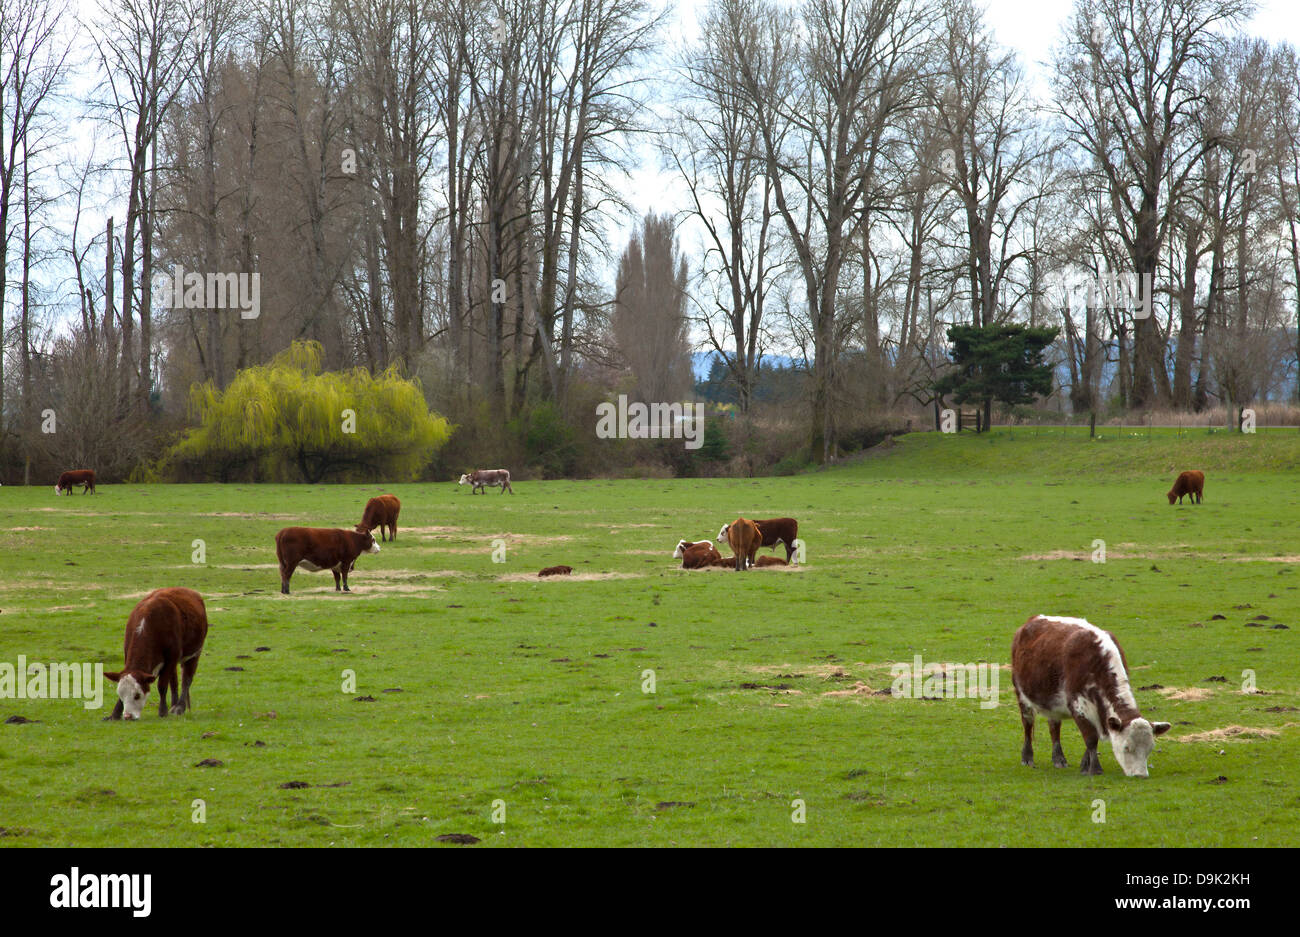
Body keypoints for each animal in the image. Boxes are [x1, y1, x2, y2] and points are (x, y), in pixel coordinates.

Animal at [104, 587, 209, 721]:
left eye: (137, 695)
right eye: (121, 694)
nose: (128, 716)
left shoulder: (171, 657)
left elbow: (162, 685)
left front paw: (162, 711)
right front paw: (115, 714)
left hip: (194, 654)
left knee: (186, 679)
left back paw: (179, 707)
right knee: (174, 681)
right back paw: (174, 704)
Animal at [1011, 615, 1171, 777]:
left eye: (1150, 749)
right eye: (1126, 747)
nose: (1140, 775)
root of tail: (1032, 620)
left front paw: (1084, 765)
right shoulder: (1078, 705)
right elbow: (1091, 738)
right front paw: (1094, 768)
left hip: (1052, 703)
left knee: (1054, 727)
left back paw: (1058, 758)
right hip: (1021, 696)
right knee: (1027, 724)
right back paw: (1027, 757)